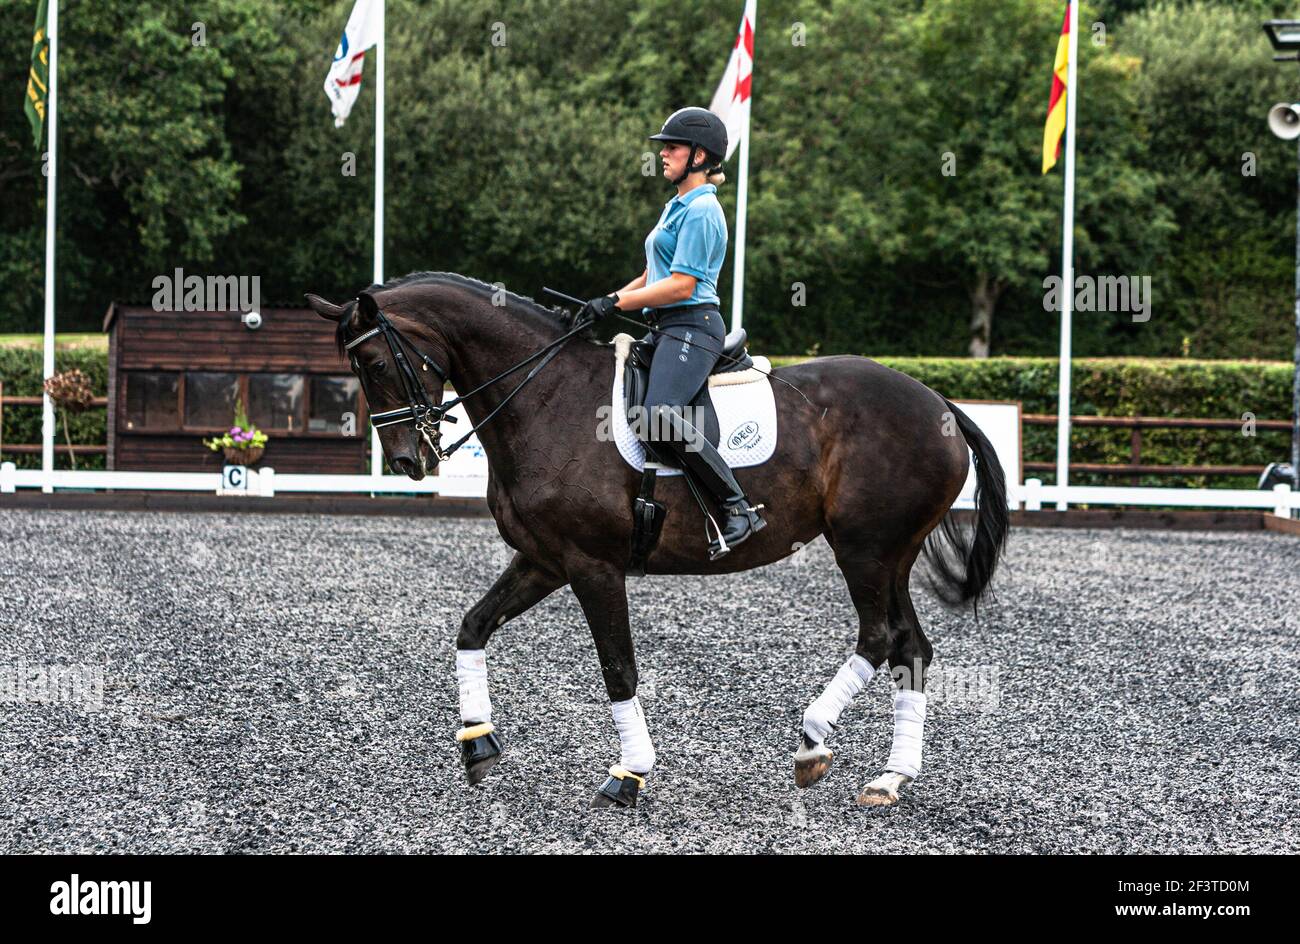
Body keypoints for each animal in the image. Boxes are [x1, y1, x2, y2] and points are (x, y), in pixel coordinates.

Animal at [307, 271, 1009, 808]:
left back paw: (813, 742)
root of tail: (940, 403)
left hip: (864, 549)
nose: (408, 460)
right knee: (910, 647)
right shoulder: (542, 559)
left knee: (880, 638)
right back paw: (890, 779)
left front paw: (628, 775)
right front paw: (477, 742)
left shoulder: (593, 565)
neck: (545, 397)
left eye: (373, 362)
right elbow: (473, 626)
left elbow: (618, 667)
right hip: (891, 556)